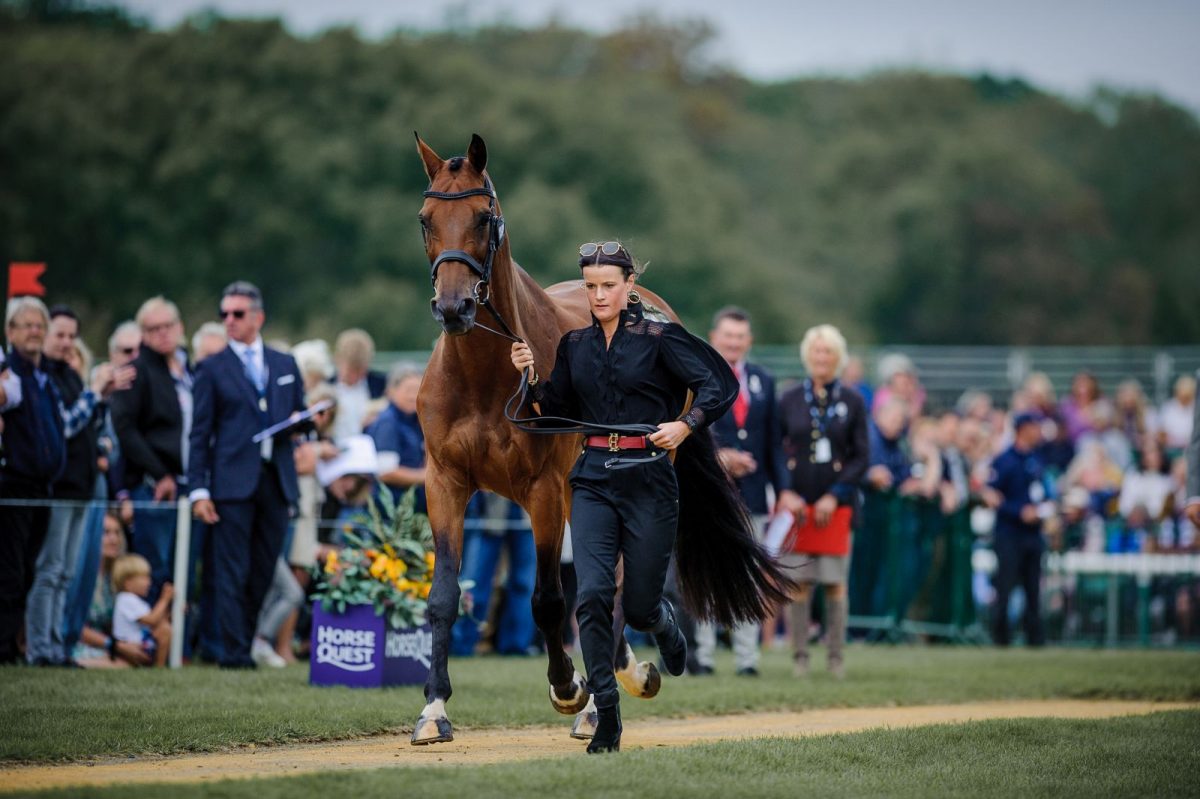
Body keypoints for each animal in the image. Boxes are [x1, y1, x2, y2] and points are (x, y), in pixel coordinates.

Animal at [411, 133, 793, 745]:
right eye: (426, 219)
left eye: (483, 217)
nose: (454, 307)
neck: (485, 377)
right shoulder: (444, 482)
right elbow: (444, 595)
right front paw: (433, 709)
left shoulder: (543, 491)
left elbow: (548, 599)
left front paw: (569, 686)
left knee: (618, 588)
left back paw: (603, 695)